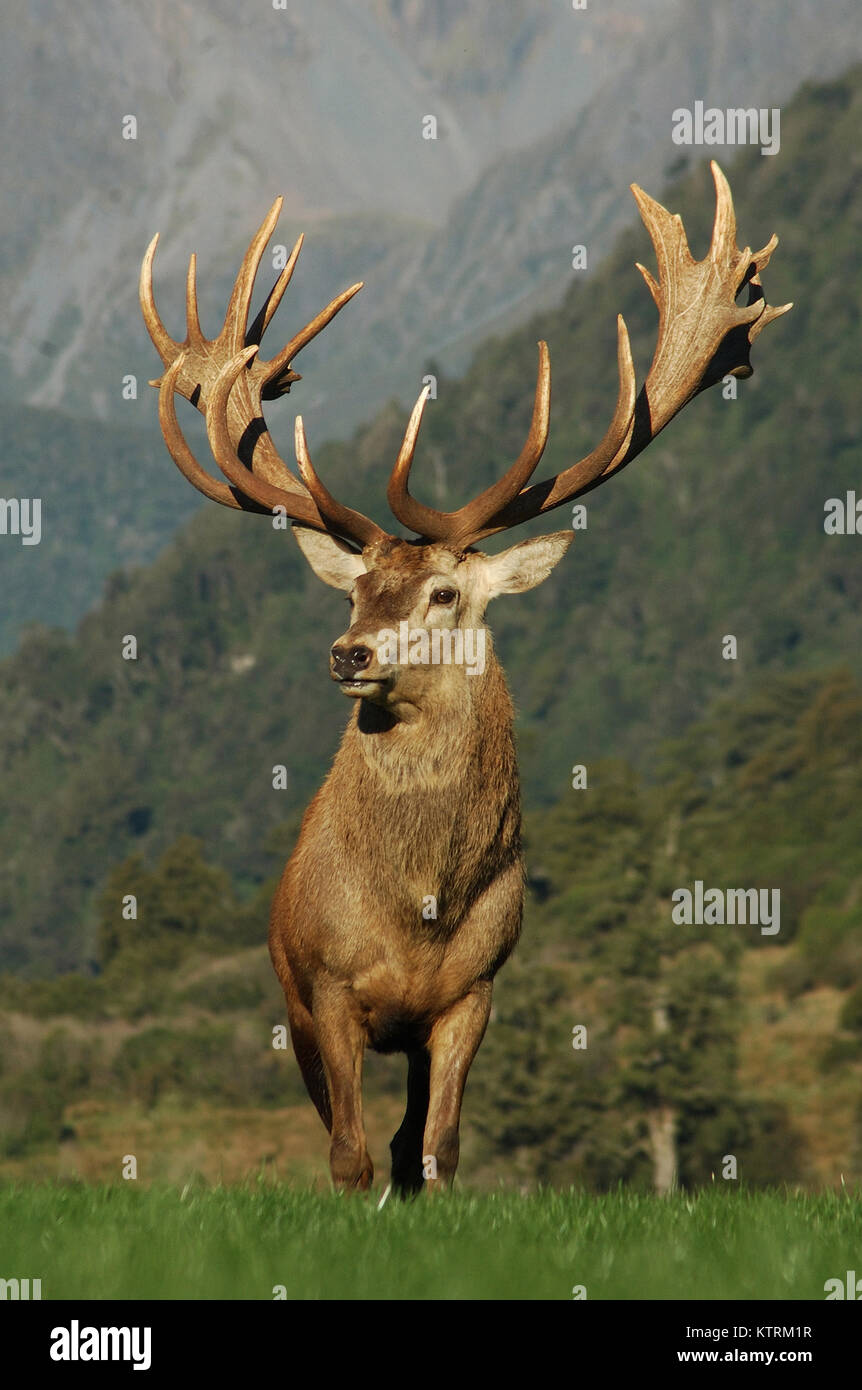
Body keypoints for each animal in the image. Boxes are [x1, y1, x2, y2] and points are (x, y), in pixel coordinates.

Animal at [140, 161, 790, 1194]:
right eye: (356, 589)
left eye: (445, 592)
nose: (350, 653)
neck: (423, 911)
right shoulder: (324, 992)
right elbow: (350, 1155)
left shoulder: (475, 991)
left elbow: (437, 1151)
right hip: (292, 1008)